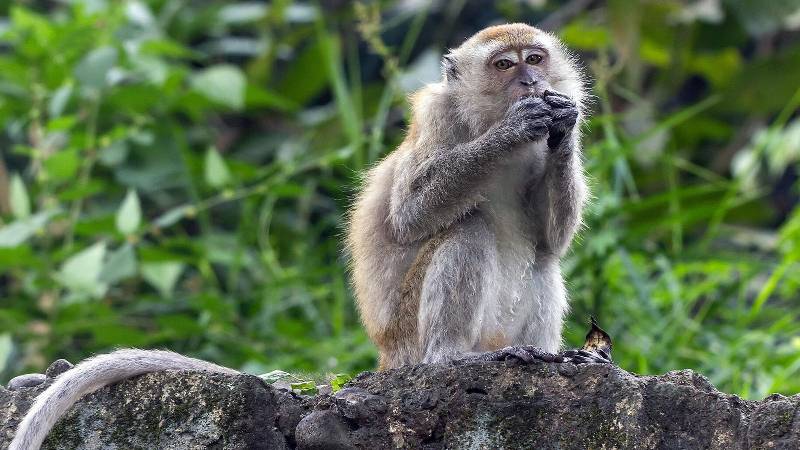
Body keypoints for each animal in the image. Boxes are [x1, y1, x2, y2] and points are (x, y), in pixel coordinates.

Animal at [347, 22, 601, 370]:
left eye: (534, 59)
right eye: (504, 65)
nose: (531, 81)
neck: (483, 119)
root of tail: (388, 354)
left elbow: (551, 240)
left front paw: (564, 125)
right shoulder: (436, 116)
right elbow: (408, 216)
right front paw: (510, 132)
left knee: (544, 257)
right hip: (410, 340)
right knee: (468, 228)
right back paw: (451, 355)